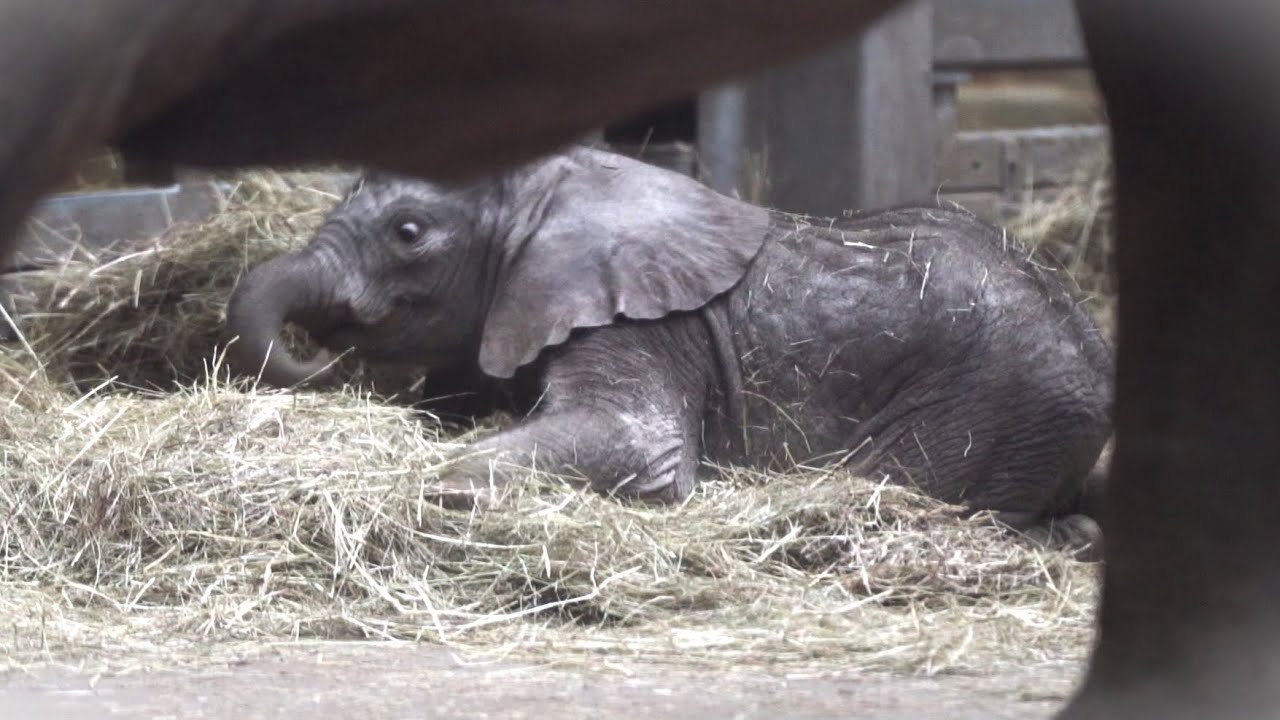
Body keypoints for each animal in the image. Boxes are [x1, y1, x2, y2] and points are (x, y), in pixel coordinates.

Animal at [224, 147, 1114, 549]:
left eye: (408, 234)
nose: (318, 354)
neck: (550, 186)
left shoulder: (639, 326)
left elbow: (636, 443)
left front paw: (442, 487)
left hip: (991, 409)